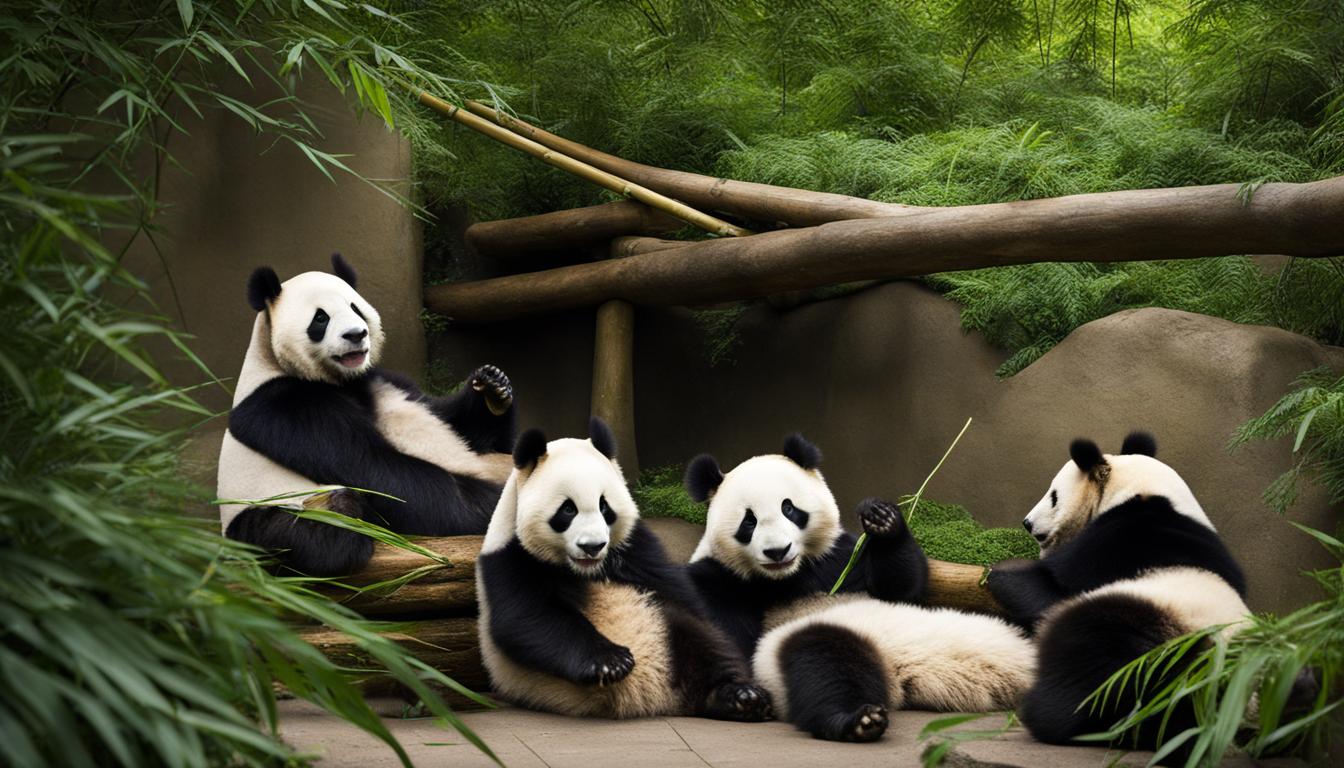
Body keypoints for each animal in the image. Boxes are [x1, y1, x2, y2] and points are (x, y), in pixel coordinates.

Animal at [217, 254, 517, 576]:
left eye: (355, 308)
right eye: (320, 318)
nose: (356, 334)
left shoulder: (380, 381)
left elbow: (457, 424)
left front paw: (493, 388)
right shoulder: (286, 405)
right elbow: (378, 470)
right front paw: (497, 502)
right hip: (262, 514)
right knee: (317, 532)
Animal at [475, 417, 772, 721]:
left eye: (604, 506)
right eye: (567, 509)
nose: (592, 546)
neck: (586, 570)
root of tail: (650, 699)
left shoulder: (636, 547)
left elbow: (689, 603)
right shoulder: (510, 559)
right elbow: (528, 618)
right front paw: (611, 663)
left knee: (691, 631)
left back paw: (739, 697)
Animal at [986, 431, 1250, 752]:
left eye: (1053, 496)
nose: (1027, 523)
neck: (1139, 491)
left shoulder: (1117, 540)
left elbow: (1052, 587)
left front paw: (1000, 573)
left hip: (1143, 637)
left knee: (1089, 658)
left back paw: (1050, 715)